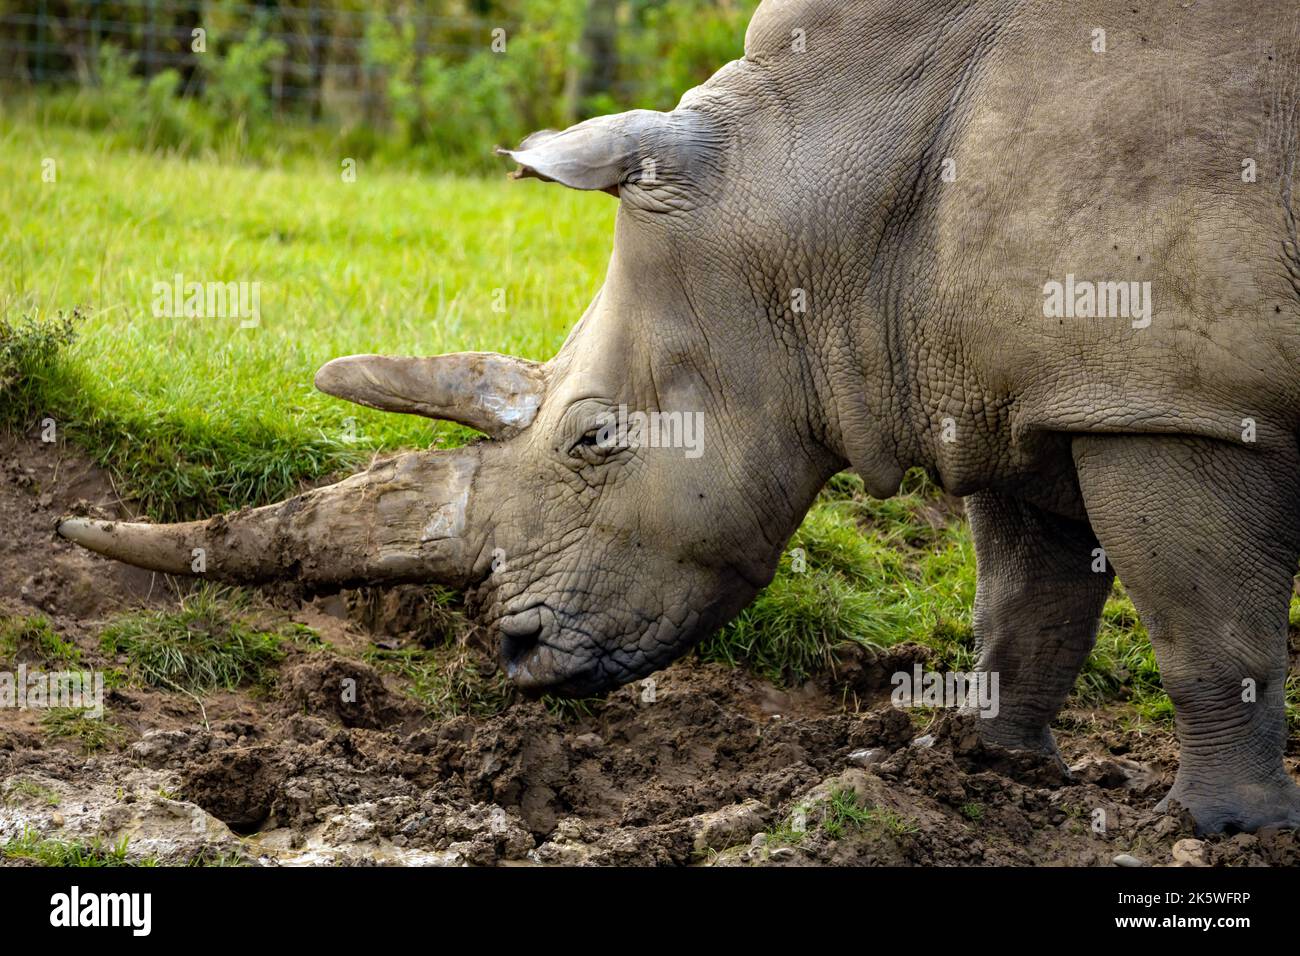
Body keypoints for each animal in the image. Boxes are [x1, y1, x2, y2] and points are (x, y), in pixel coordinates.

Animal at [58, 0, 1300, 834]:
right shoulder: (1034, 387)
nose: (512, 652)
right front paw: (984, 771)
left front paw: (1221, 826)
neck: (823, 206)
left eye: (593, 440)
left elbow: (1205, 628)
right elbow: (1025, 602)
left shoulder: (1172, 404)